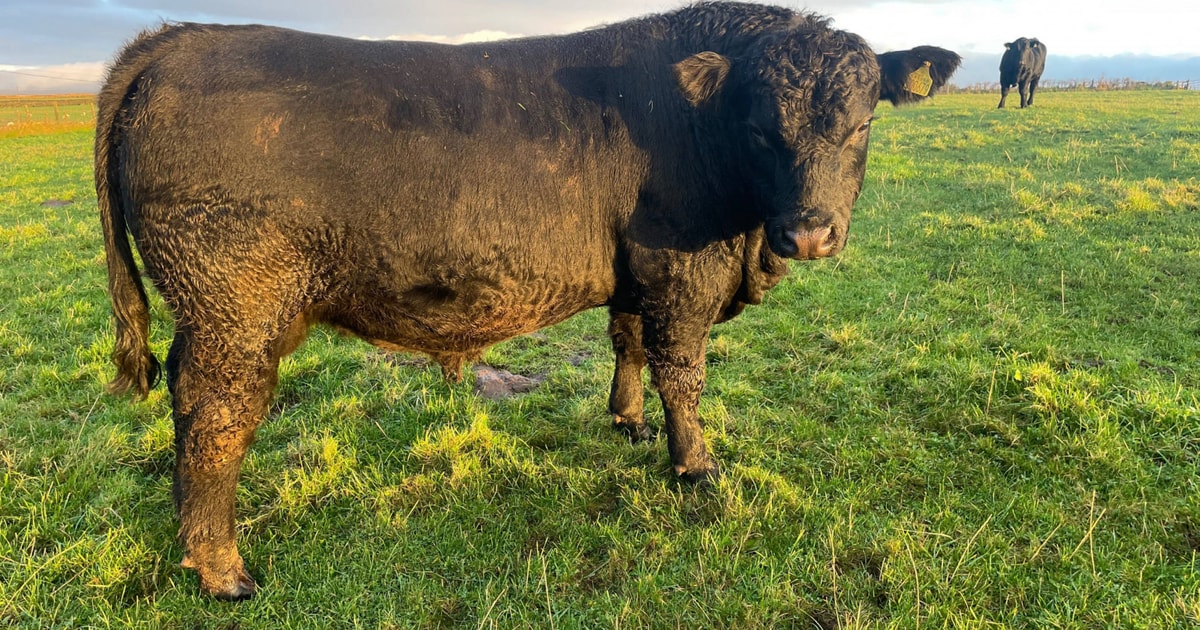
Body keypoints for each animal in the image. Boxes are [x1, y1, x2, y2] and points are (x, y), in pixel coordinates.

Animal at [96, 1, 960, 599]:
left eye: (862, 122)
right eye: (757, 126)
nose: (810, 232)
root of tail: (182, 38)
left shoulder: (634, 270)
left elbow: (628, 343)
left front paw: (626, 421)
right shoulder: (680, 277)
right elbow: (683, 373)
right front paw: (696, 465)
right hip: (234, 313)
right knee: (214, 421)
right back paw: (222, 570)